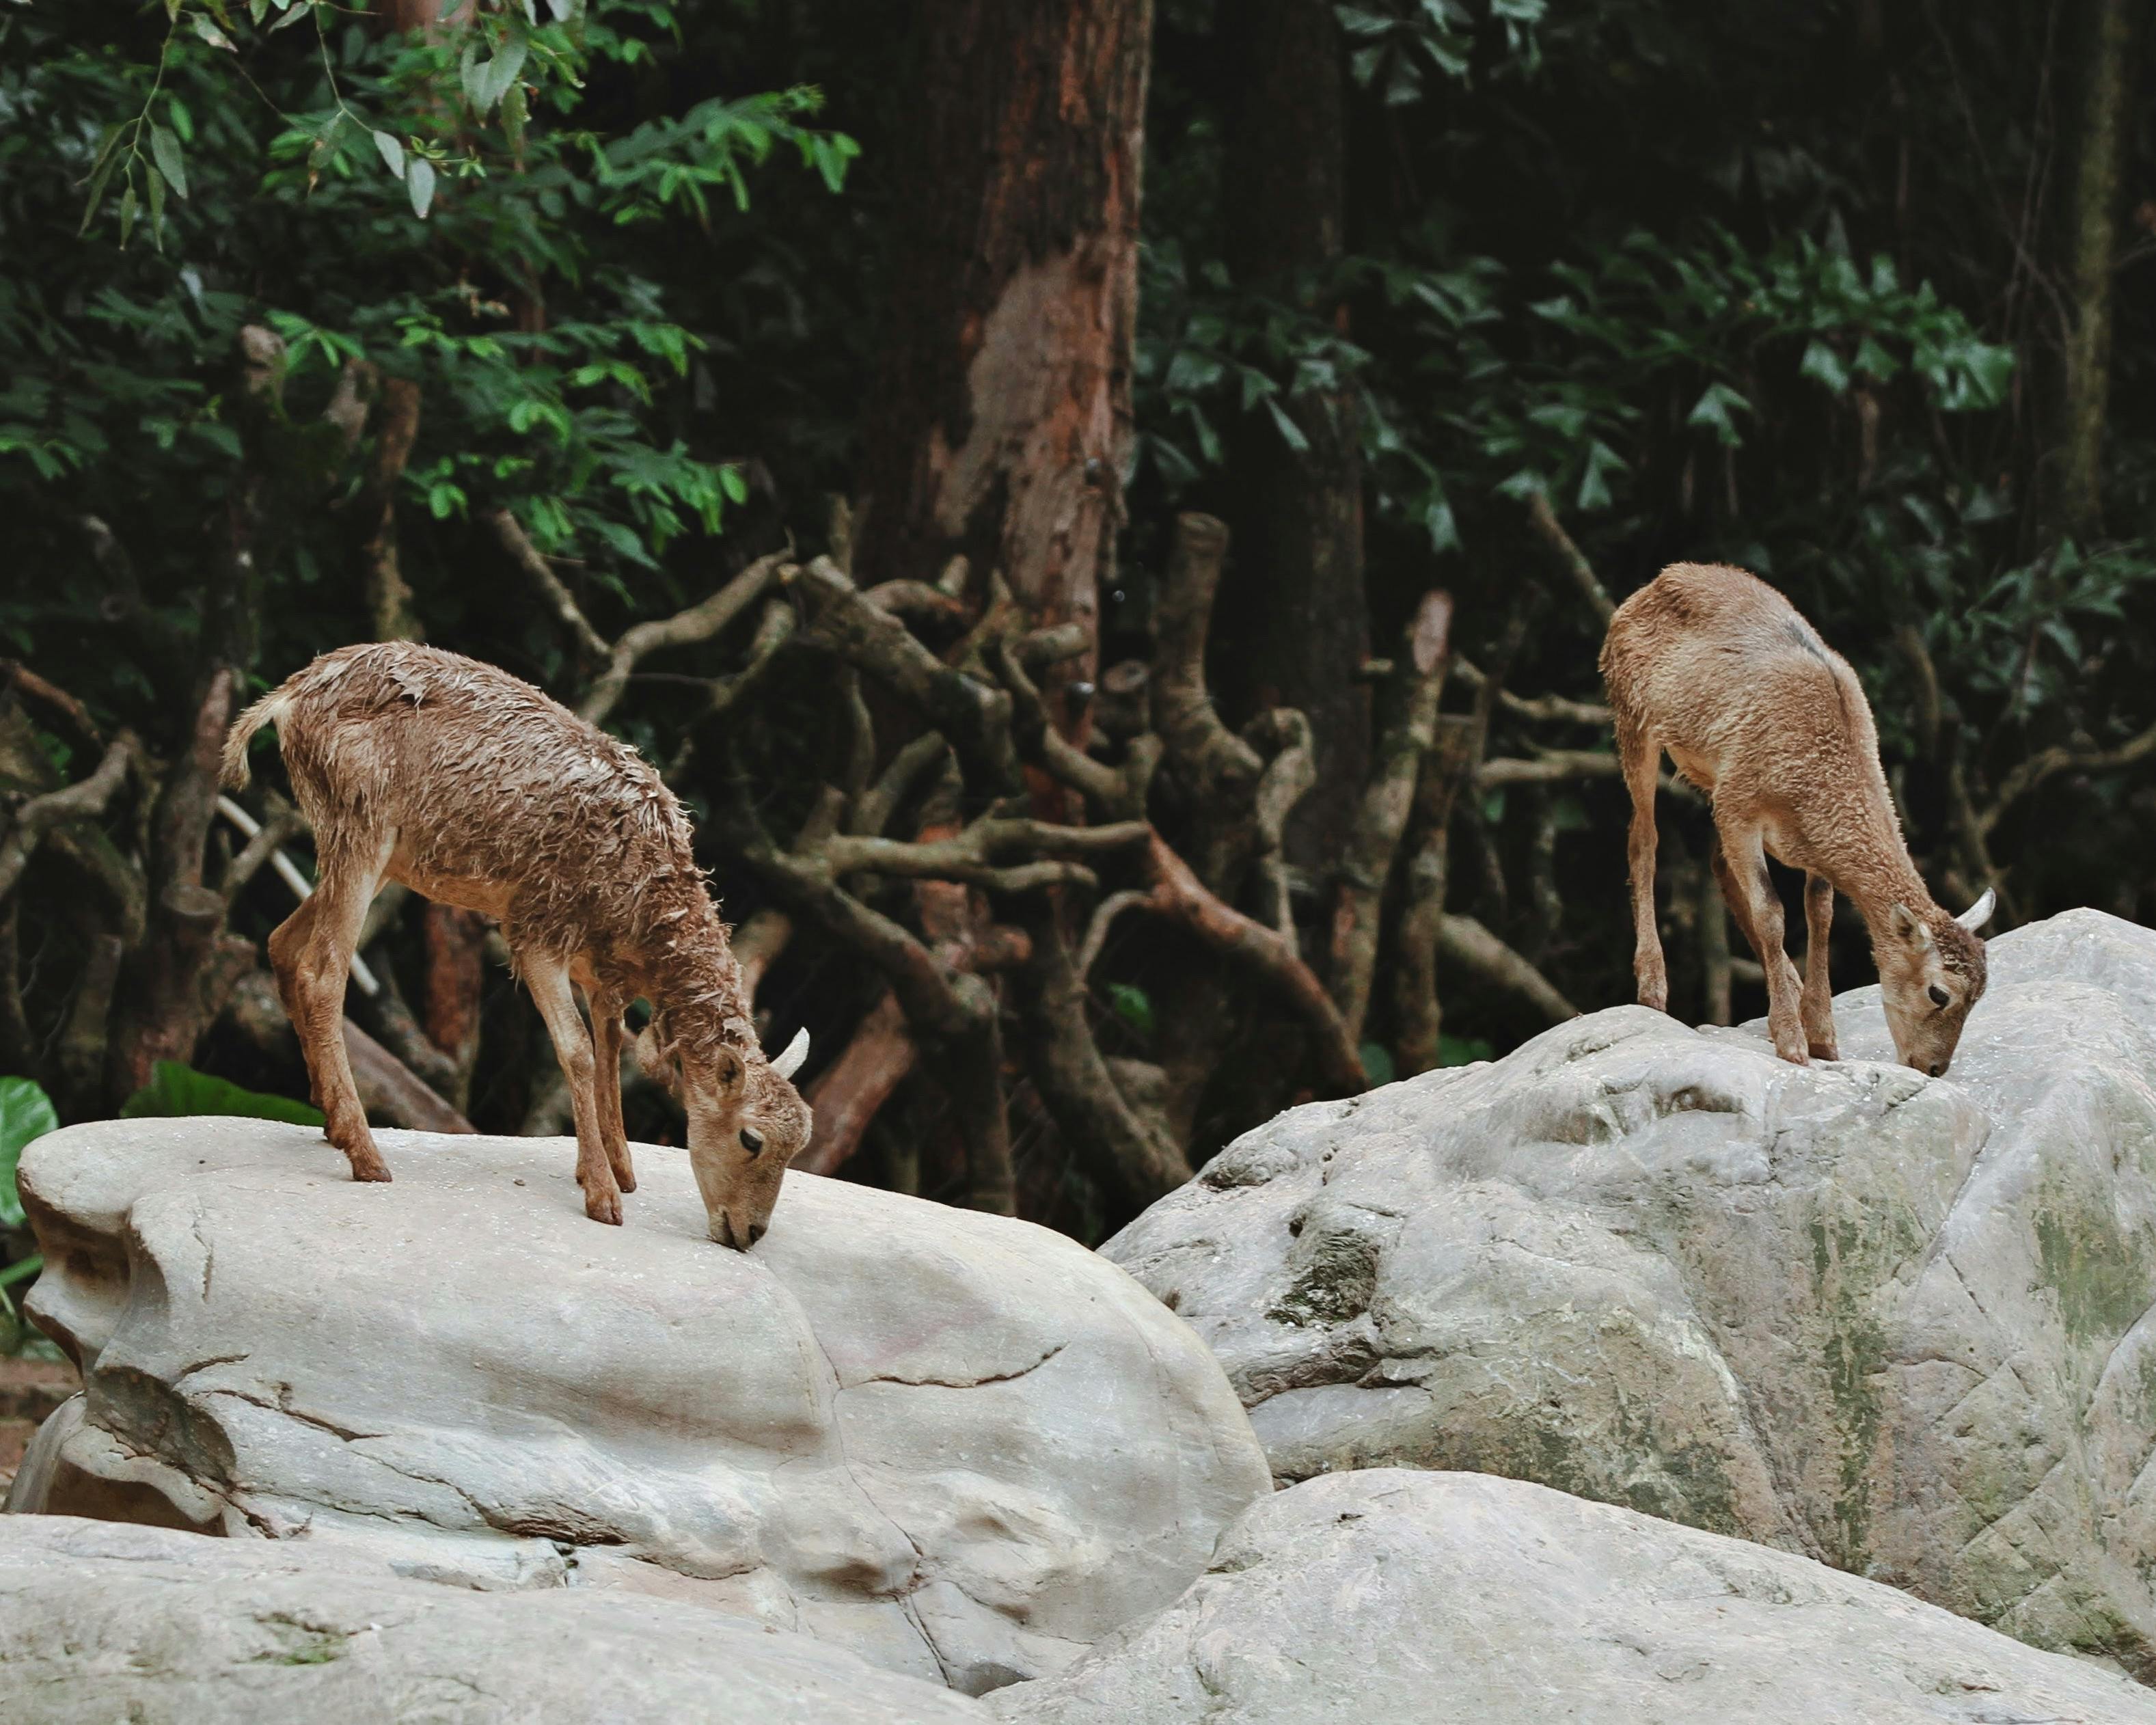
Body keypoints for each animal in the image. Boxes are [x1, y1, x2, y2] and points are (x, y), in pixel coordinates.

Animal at [220, 641, 812, 1248]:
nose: (748, 1232)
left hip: (378, 856)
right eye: (751, 1138)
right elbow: (577, 1051)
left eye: (798, 1146)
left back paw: (331, 1121)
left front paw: (621, 1172)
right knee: (322, 972)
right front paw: (601, 1195)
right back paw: (367, 1155)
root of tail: (289, 696)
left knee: (281, 941)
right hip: (362, 828)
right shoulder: (536, 932)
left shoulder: (600, 971)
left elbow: (609, 1050)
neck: (646, 904)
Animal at [1601, 563, 1995, 1077]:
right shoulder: (1739, 807)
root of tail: (1648, 588)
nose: (1932, 1068)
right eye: (1938, 992)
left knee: (1715, 863)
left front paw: (1823, 1038)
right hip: (1632, 718)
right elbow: (1772, 912)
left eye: (1980, 996)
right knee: (1643, 839)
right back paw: (1652, 989)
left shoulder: (1795, 838)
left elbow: (1819, 913)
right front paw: (1793, 1043)